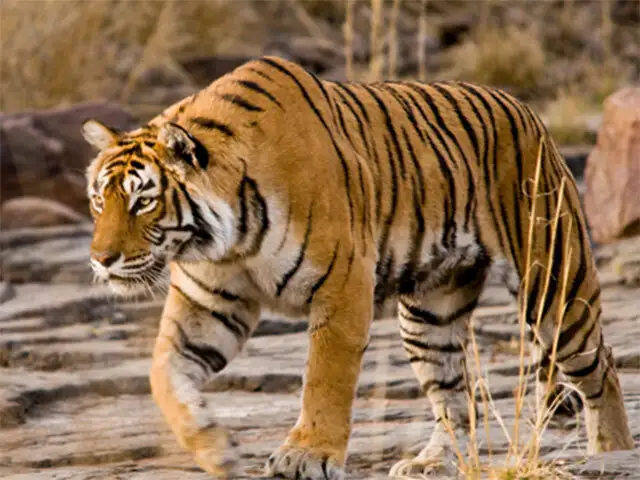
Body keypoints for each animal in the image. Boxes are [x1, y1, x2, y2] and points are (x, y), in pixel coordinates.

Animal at [82, 55, 634, 479]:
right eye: (98, 200)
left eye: (143, 201)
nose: (100, 259)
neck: (225, 241)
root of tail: (525, 109)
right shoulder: (208, 305)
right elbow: (164, 374)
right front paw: (215, 447)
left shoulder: (343, 282)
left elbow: (325, 378)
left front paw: (305, 455)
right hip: (429, 314)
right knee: (454, 396)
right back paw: (432, 463)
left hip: (555, 283)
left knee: (601, 365)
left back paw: (611, 453)